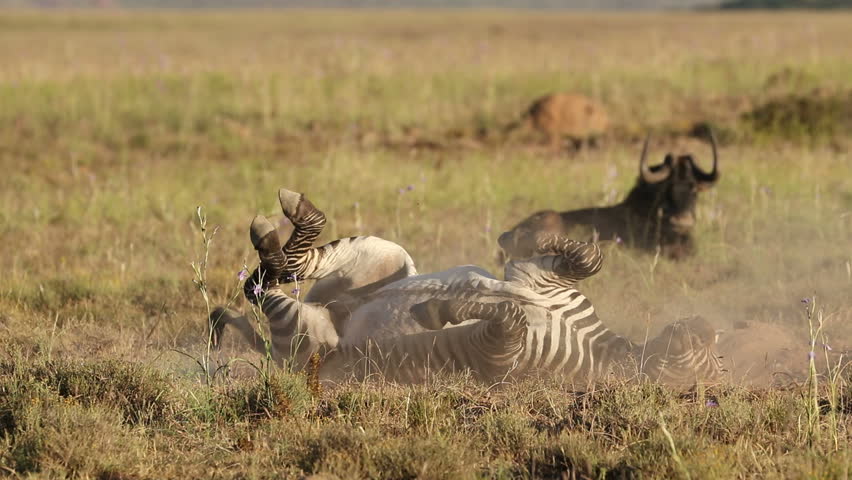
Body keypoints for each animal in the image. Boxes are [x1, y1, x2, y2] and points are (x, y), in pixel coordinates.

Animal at [212, 188, 723, 385]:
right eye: (715, 352)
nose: (700, 324)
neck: (599, 345)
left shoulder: (500, 355)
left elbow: (508, 314)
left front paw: (438, 310)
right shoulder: (544, 281)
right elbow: (587, 257)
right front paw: (522, 236)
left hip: (306, 342)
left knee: (265, 287)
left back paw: (272, 243)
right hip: (385, 257)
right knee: (283, 270)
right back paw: (288, 224)